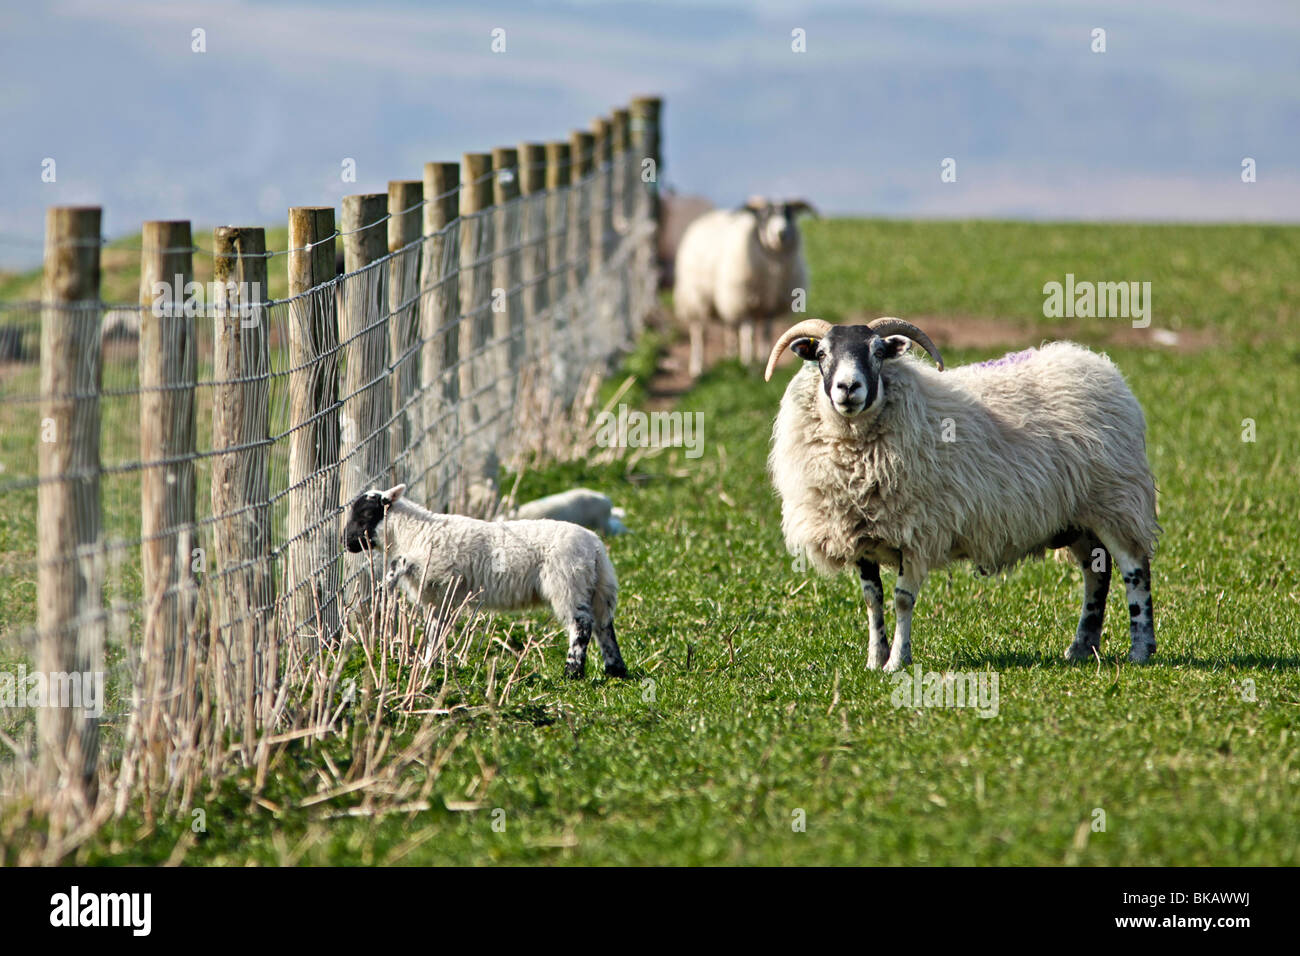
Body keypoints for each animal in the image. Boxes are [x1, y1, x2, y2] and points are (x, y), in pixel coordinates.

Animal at [343, 484, 627, 679]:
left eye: (366, 513)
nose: (346, 544)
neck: (412, 532)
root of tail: (595, 546)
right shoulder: (438, 597)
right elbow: (435, 629)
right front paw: (429, 663)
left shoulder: (442, 580)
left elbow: (435, 626)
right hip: (594, 587)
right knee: (604, 625)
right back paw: (615, 669)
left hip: (567, 583)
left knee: (582, 625)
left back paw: (572, 672)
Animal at [674, 197, 816, 377]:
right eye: (764, 216)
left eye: (789, 214)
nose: (781, 233)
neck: (773, 265)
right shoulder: (746, 302)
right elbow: (750, 334)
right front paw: (749, 363)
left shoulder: (769, 304)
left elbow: (766, 333)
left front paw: (764, 360)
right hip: (697, 298)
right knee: (699, 333)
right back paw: (697, 368)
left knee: (730, 329)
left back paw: (731, 356)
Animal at [764, 317, 1160, 672]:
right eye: (821, 354)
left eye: (878, 352)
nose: (848, 387)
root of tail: (1099, 366)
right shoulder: (859, 535)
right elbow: (872, 601)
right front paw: (875, 660)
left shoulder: (918, 532)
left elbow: (902, 601)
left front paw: (897, 662)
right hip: (1076, 517)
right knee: (1097, 572)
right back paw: (1082, 647)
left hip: (1116, 499)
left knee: (1134, 569)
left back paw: (1140, 650)